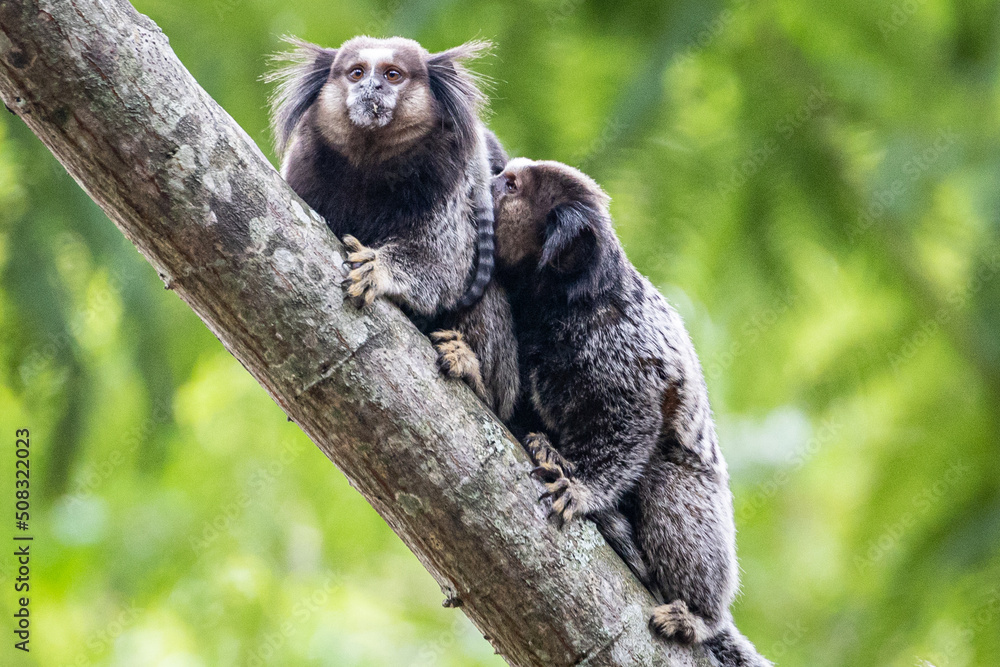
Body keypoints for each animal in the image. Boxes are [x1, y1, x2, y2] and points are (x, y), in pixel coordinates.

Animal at [267, 36, 517, 418]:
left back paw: (473, 374)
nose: (372, 87)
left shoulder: (448, 177)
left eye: (393, 74)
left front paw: (378, 268)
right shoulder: (302, 170)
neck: (369, 164)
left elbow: (443, 265)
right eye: (357, 73)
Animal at [487, 158, 772, 666]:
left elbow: (634, 422)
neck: (560, 306)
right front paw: (545, 446)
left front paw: (583, 490)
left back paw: (700, 617)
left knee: (668, 481)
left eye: (512, 185)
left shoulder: (621, 346)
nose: (491, 179)